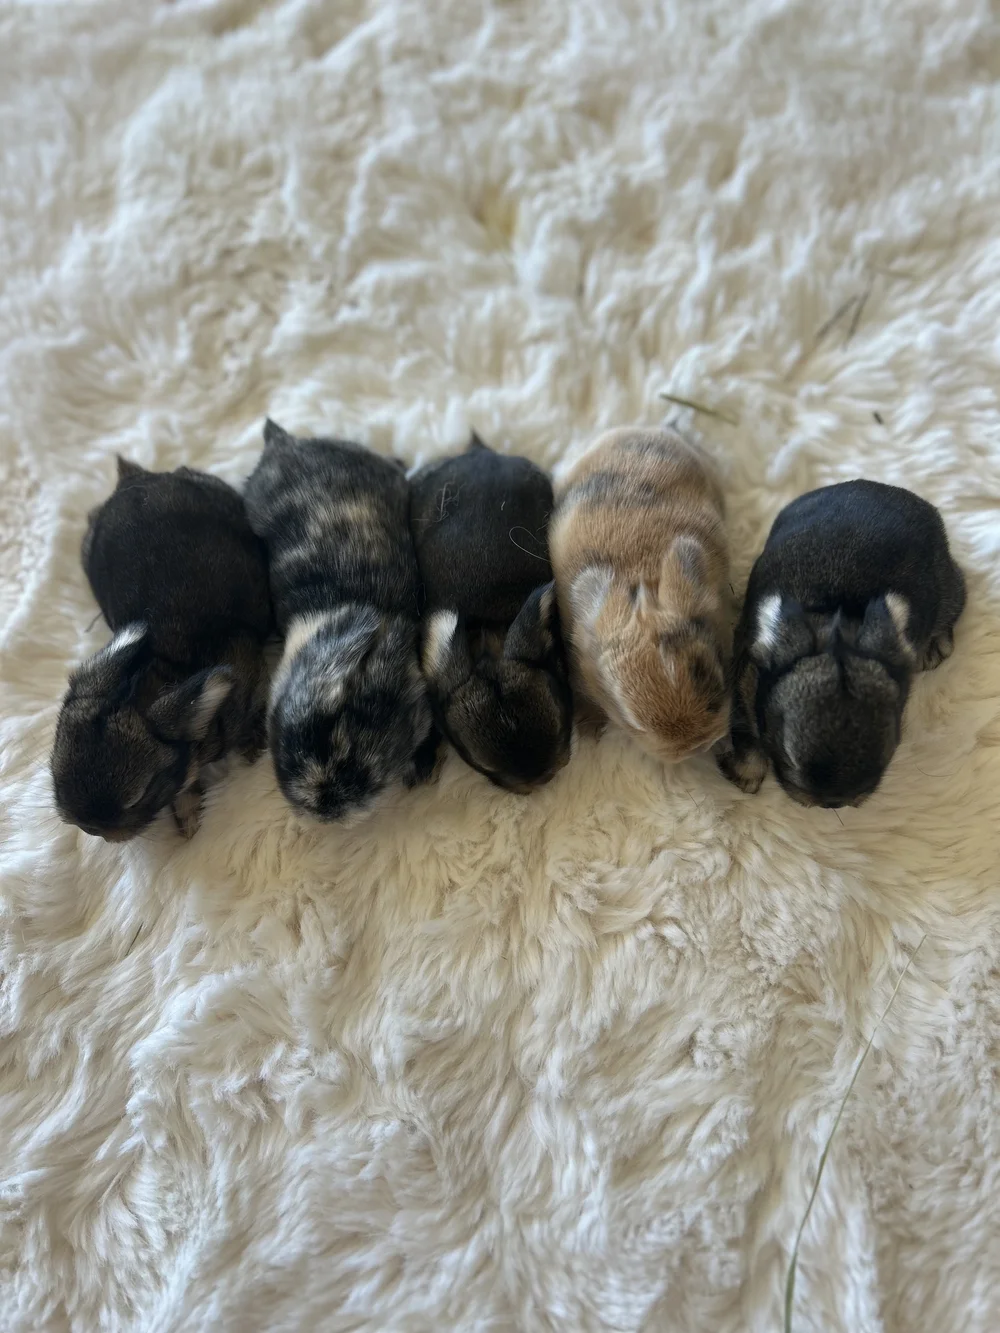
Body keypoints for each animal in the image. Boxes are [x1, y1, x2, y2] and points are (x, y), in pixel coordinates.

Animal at [548, 425, 731, 762]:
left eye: (717, 686)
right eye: (633, 722)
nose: (695, 746)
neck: (643, 581)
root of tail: (646, 430)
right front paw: (589, 730)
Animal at [716, 479, 967, 808]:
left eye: (889, 750)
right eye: (789, 755)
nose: (833, 802)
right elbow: (744, 731)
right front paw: (746, 778)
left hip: (948, 590)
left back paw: (935, 649)